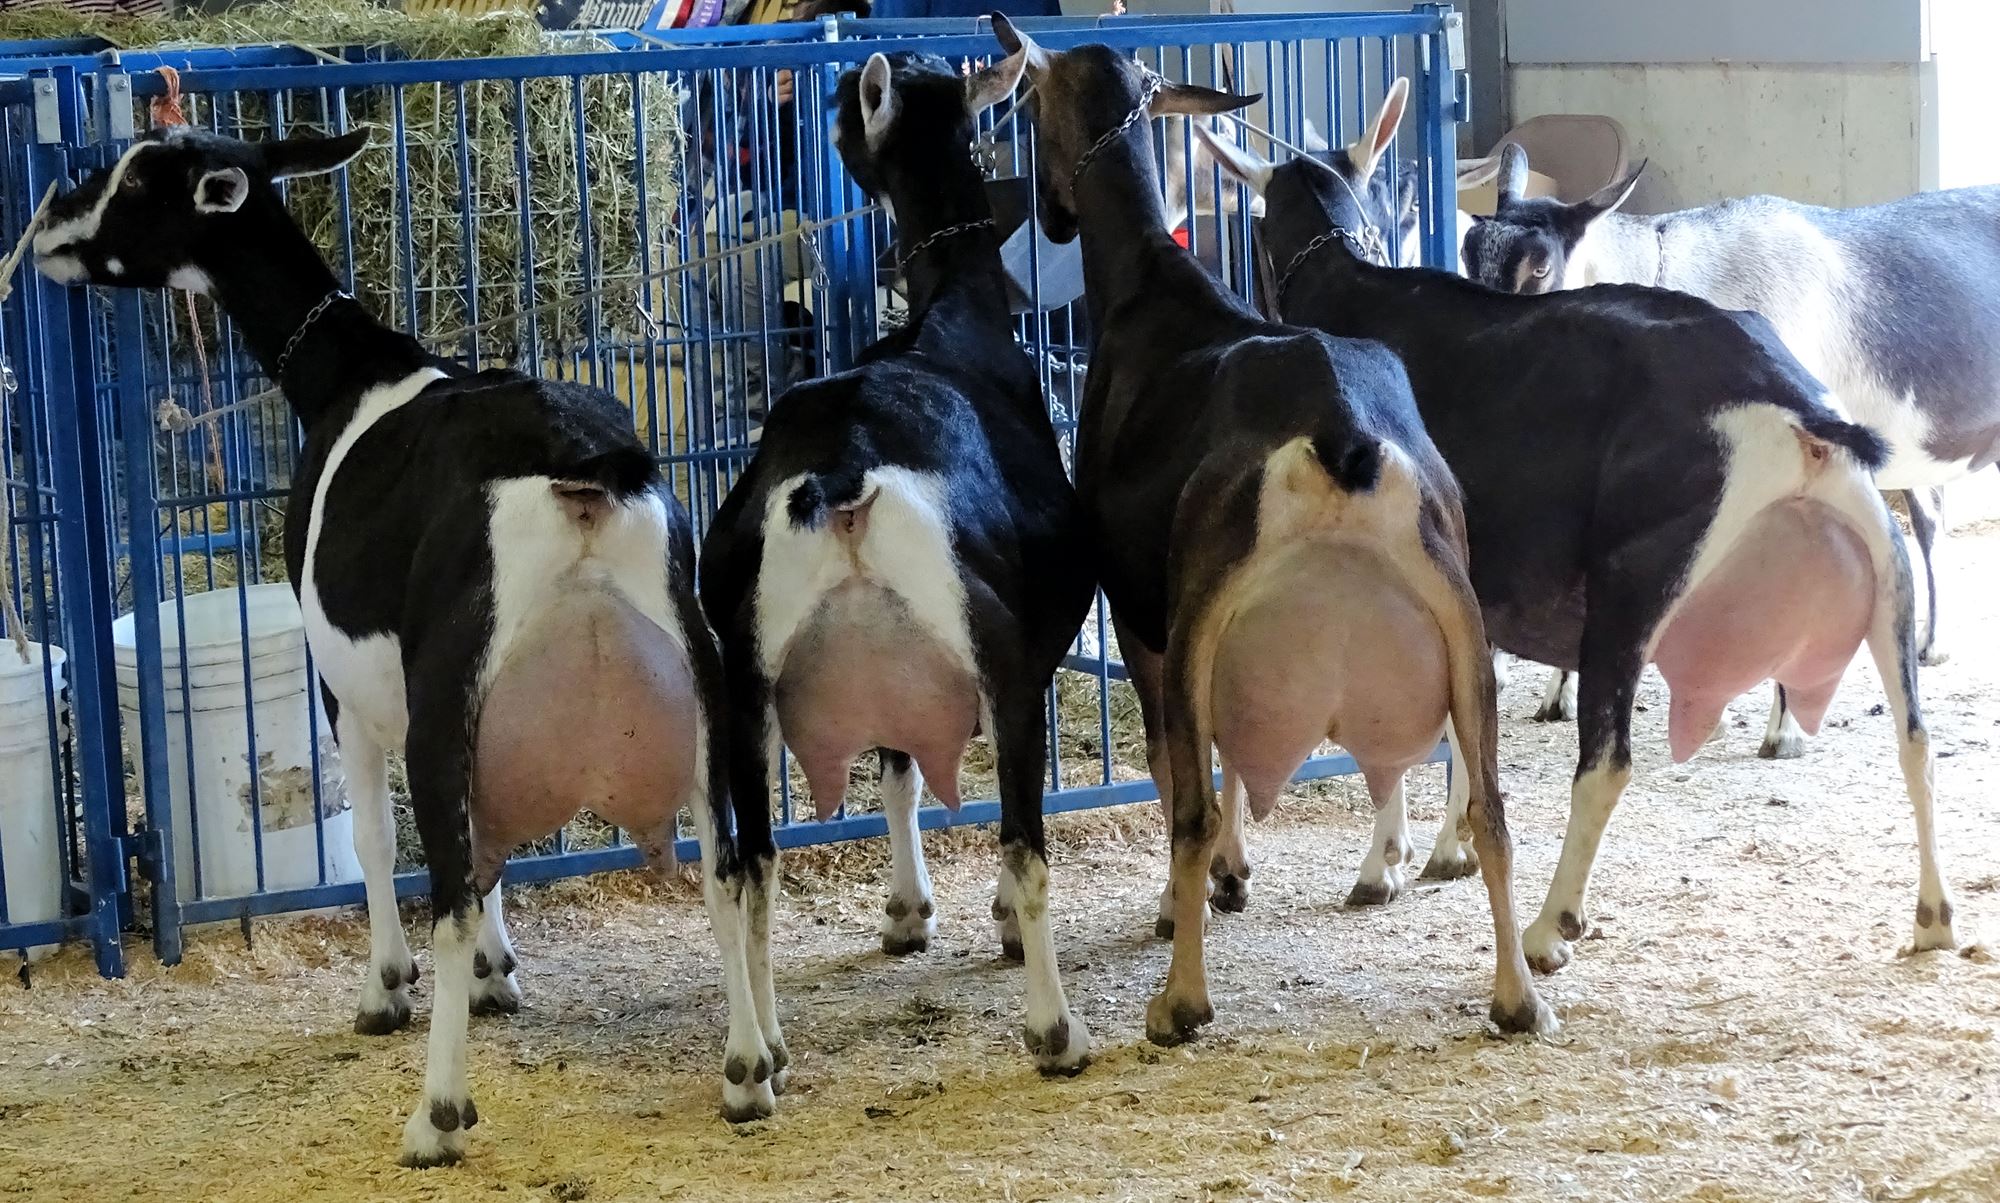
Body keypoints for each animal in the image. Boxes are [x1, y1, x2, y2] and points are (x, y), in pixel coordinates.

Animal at [34, 129, 764, 1163]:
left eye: (139, 177)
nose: (49, 224)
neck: (351, 376)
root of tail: (584, 469)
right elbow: (491, 843)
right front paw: (501, 973)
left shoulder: (352, 693)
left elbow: (378, 839)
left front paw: (384, 986)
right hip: (692, 677)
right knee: (726, 869)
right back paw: (748, 1074)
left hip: (450, 686)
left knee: (446, 892)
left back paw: (437, 1115)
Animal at [697, 50, 1094, 1079]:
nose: (827, 100)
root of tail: (843, 472)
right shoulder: (1025, 655)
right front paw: (978, 920)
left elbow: (897, 769)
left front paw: (908, 914)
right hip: (993, 648)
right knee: (1026, 840)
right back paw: (1056, 1030)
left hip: (743, 678)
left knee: (750, 863)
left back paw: (754, 1060)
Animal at [993, 17, 1552, 1046]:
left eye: (1030, 106)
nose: (1045, 216)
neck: (1149, 283)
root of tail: (1339, 435)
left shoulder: (1142, 615)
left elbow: (1178, 767)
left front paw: (1211, 886)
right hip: (1460, 617)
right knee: (1493, 807)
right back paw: (1517, 996)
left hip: (1204, 603)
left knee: (1187, 799)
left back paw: (1179, 1000)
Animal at [1465, 147, 2000, 757]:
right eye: (1468, 256)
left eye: (1540, 269)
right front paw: (1560, 695)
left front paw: (1782, 733)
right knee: (1931, 518)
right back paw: (1931, 645)